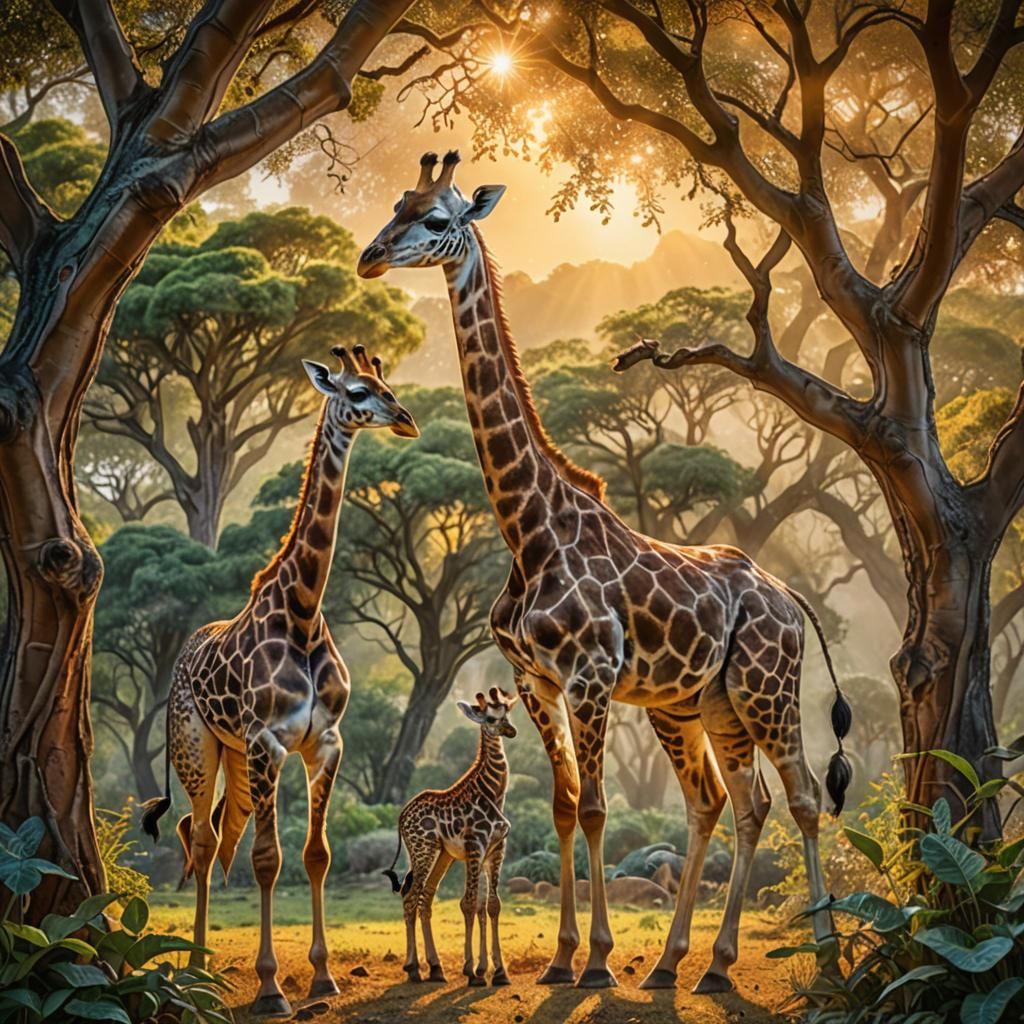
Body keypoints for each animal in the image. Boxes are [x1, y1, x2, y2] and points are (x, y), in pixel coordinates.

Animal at [141, 345, 419, 1019]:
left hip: (236, 758)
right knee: (203, 838)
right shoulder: (268, 741)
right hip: (199, 748)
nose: (404, 419)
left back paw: (204, 961)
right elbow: (268, 860)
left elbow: (316, 856)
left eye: (387, 385)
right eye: (356, 390)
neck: (303, 610)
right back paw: (194, 967)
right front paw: (271, 989)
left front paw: (323, 977)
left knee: (213, 830)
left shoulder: (324, 743)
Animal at [383, 687, 517, 988]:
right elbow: (468, 904)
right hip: (424, 850)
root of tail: (401, 816)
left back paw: (435, 968)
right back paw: (413, 969)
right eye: (491, 718)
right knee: (411, 897)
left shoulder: (495, 850)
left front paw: (497, 972)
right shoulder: (475, 846)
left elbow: (489, 906)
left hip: (442, 855)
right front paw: (472, 972)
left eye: (507, 714)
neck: (494, 793)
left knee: (425, 897)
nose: (511, 731)